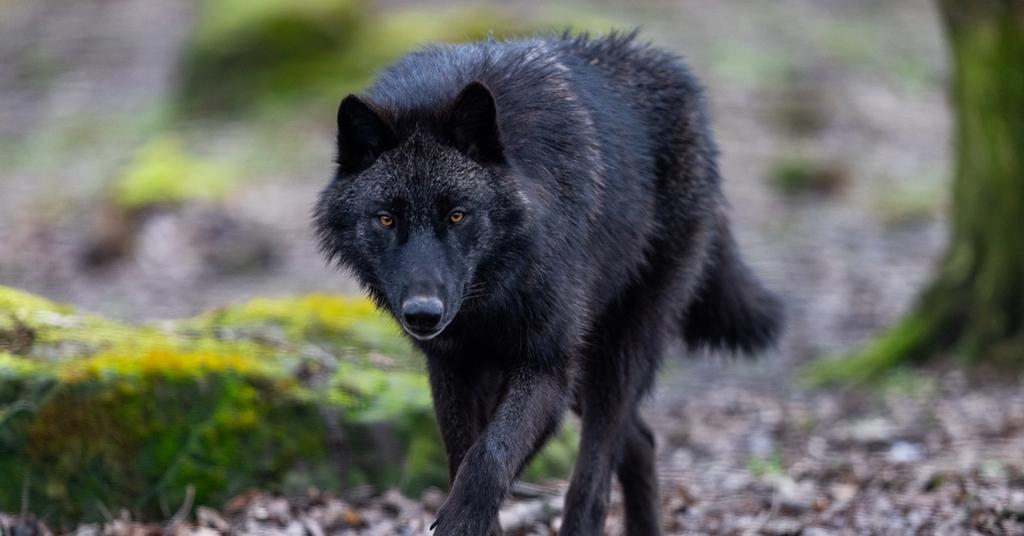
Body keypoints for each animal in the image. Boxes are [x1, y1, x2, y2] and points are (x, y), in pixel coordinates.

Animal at [314, 32, 782, 536]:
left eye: (457, 214)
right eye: (386, 219)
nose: (423, 314)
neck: (490, 299)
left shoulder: (546, 367)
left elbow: (487, 458)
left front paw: (462, 520)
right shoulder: (452, 368)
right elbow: (462, 457)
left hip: (613, 353)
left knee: (594, 482)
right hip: (583, 368)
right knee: (640, 440)